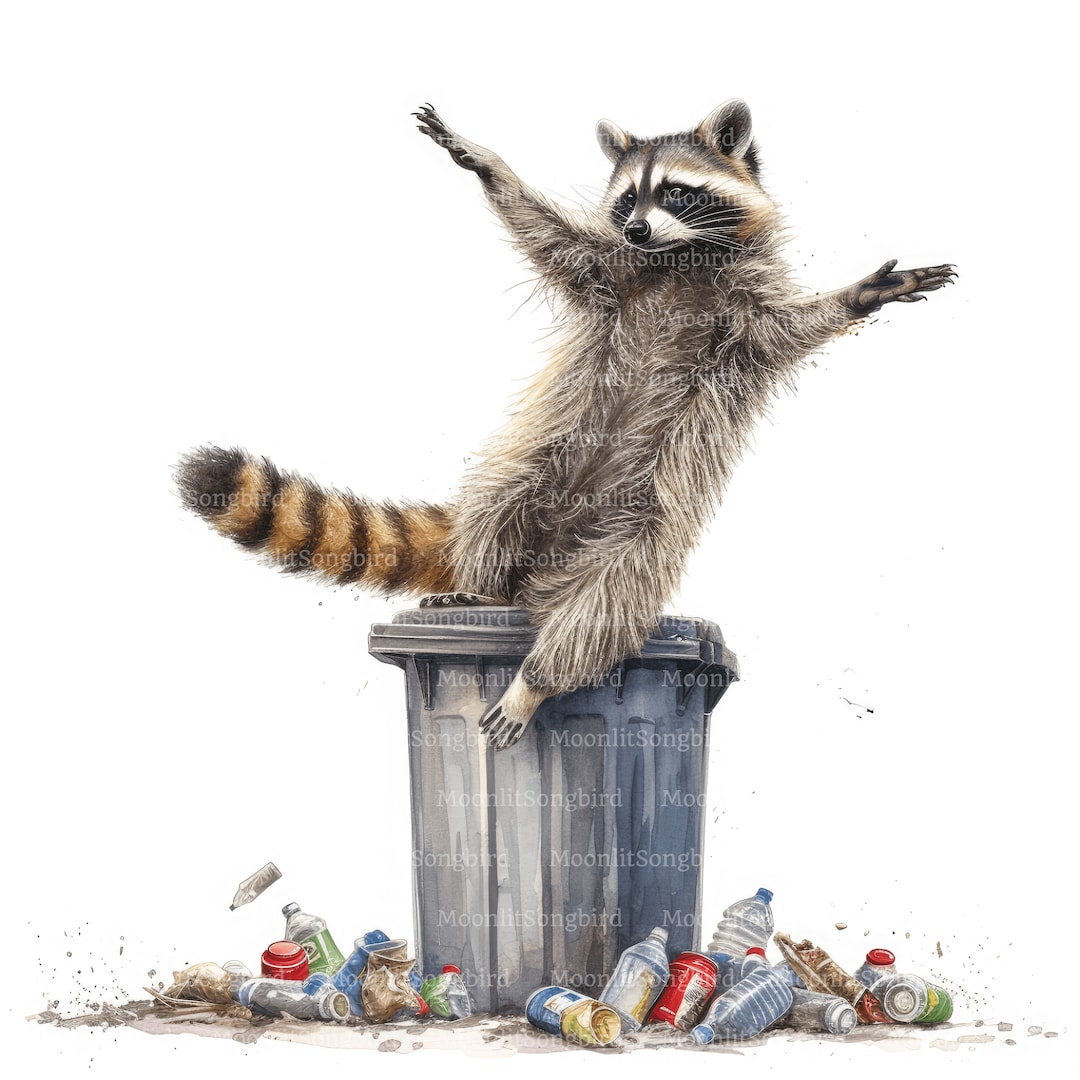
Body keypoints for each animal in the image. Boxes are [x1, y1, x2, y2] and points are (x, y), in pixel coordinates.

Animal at [177, 101, 954, 749]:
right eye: (629, 198)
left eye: (676, 192)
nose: (636, 227)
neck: (678, 258)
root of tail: (547, 569)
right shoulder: (609, 271)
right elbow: (549, 235)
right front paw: (489, 165)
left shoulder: (743, 323)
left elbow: (791, 329)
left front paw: (861, 294)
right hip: (541, 455)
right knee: (501, 502)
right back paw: (488, 587)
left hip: (644, 524)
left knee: (608, 599)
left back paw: (538, 676)